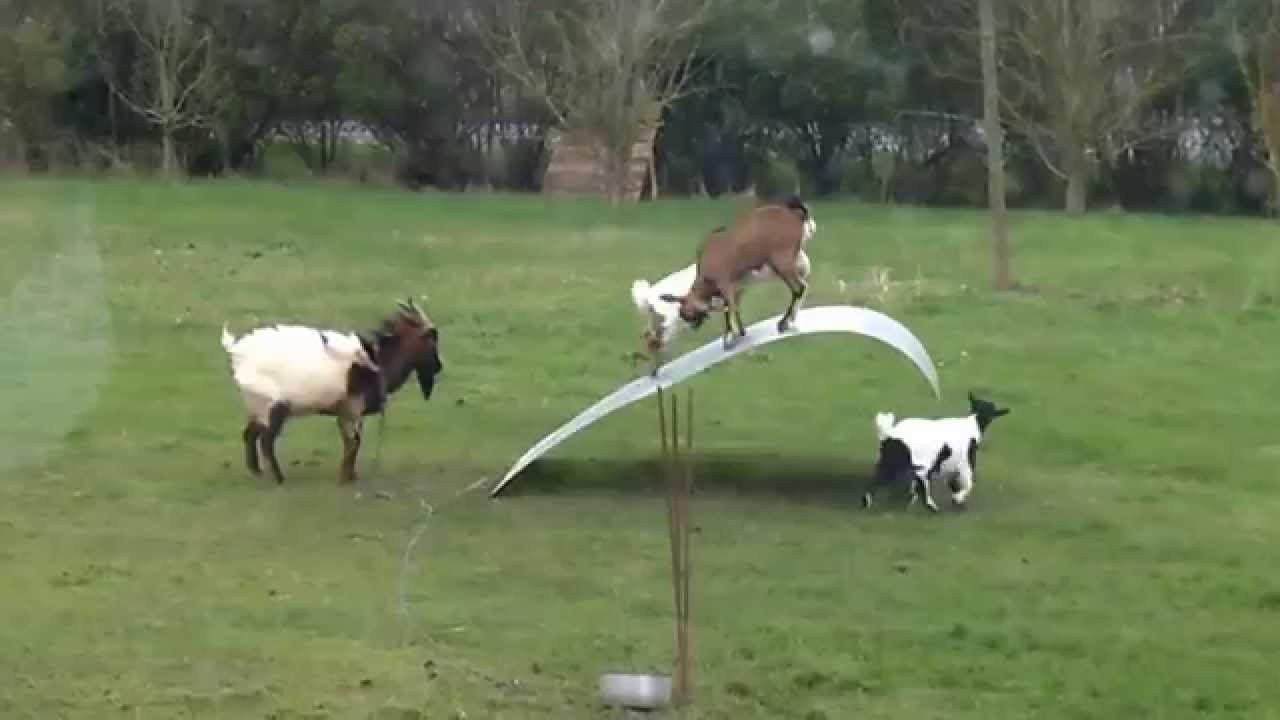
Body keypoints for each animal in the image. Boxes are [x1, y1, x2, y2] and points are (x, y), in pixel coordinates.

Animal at [220, 297, 442, 486]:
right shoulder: (353, 408)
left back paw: (257, 471)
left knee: (249, 434)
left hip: (258, 406)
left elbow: (350, 442)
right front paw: (345, 478)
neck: (378, 363)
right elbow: (354, 442)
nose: (439, 366)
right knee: (266, 441)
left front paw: (351, 475)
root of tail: (237, 352)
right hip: (275, 407)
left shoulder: (344, 412)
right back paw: (279, 478)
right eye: (431, 337)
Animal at [630, 225, 811, 373]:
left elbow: (732, 314)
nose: (803, 267)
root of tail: (648, 295)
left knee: (651, 337)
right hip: (668, 322)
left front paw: (738, 335)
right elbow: (731, 314)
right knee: (655, 338)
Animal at [659, 195, 815, 349]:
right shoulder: (737, 287)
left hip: (781, 262)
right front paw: (740, 332)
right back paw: (790, 320)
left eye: (688, 314)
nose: (693, 327)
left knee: (799, 288)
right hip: (795, 261)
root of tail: (796, 215)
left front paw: (729, 338)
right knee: (803, 286)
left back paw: (783, 323)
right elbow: (735, 308)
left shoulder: (725, 283)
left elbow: (729, 309)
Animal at [862, 392, 1010, 512]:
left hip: (889, 462)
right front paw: (958, 499)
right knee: (922, 485)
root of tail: (890, 435)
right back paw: (932, 507)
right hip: (921, 466)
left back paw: (868, 502)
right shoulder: (964, 465)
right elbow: (968, 484)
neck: (972, 423)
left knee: (876, 480)